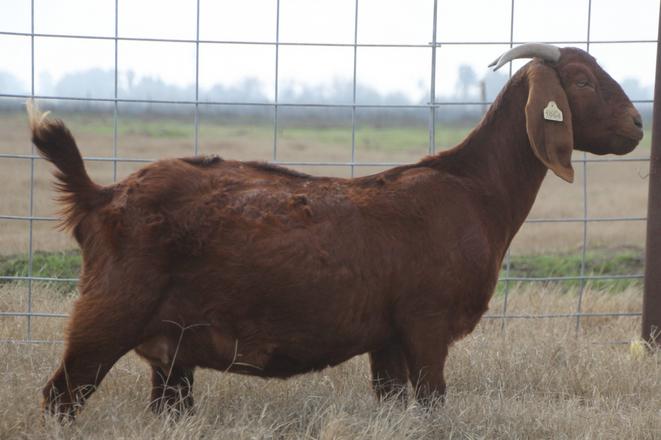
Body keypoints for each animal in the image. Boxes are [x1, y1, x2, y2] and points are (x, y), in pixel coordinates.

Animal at [31, 44, 642, 419]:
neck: (473, 189)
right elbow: (433, 403)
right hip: (107, 313)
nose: (638, 125)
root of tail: (101, 195)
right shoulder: (426, 322)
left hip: (171, 348)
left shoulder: (389, 337)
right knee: (60, 395)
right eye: (582, 80)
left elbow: (396, 404)